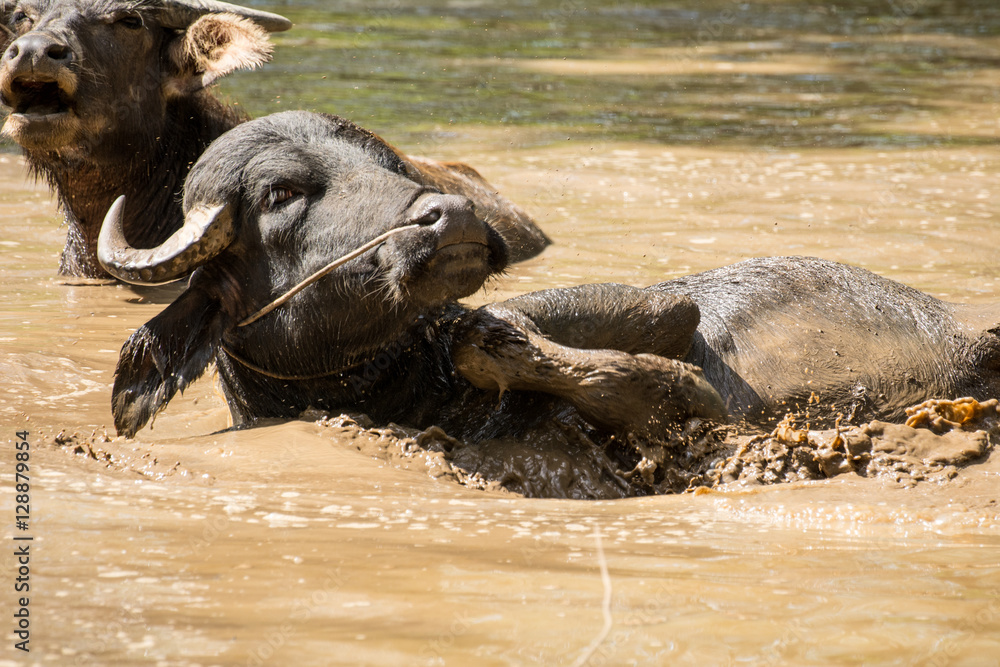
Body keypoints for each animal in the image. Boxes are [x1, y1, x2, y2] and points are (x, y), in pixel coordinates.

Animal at [99, 111, 1000, 445]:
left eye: (381, 159)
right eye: (282, 192)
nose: (451, 217)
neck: (403, 383)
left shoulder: (658, 303)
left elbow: (488, 333)